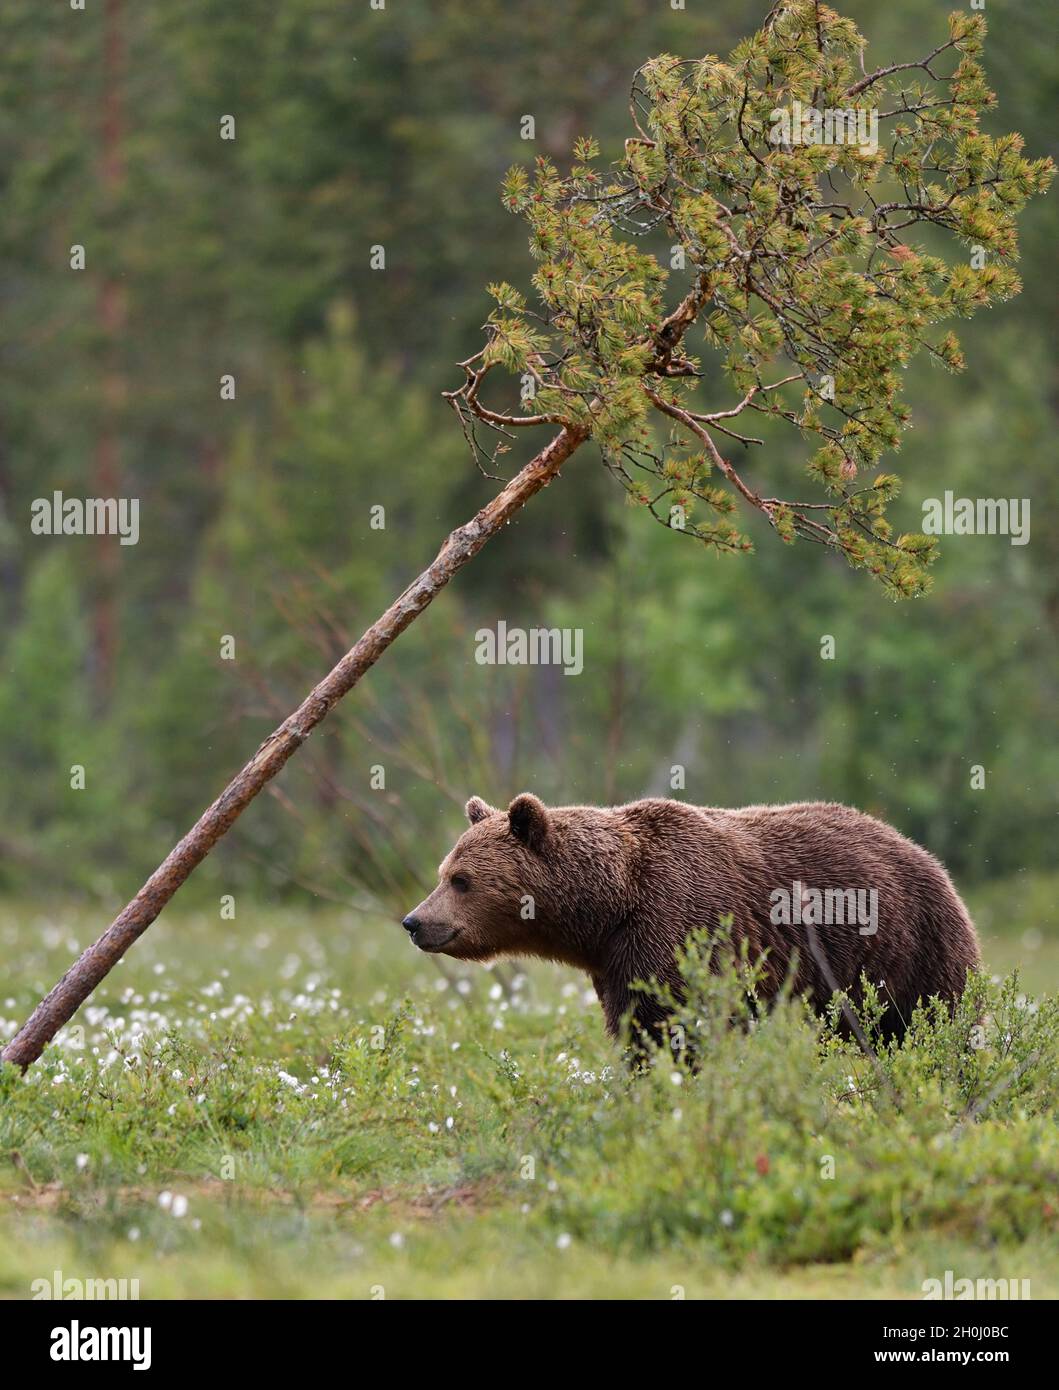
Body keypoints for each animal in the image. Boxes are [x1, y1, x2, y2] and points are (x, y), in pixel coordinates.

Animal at [401, 794, 982, 1048]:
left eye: (461, 880)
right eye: (443, 872)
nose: (414, 921)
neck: (611, 907)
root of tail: (932, 860)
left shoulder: (679, 923)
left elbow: (678, 1020)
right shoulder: (616, 961)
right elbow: (635, 1023)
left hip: (906, 947)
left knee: (927, 1018)